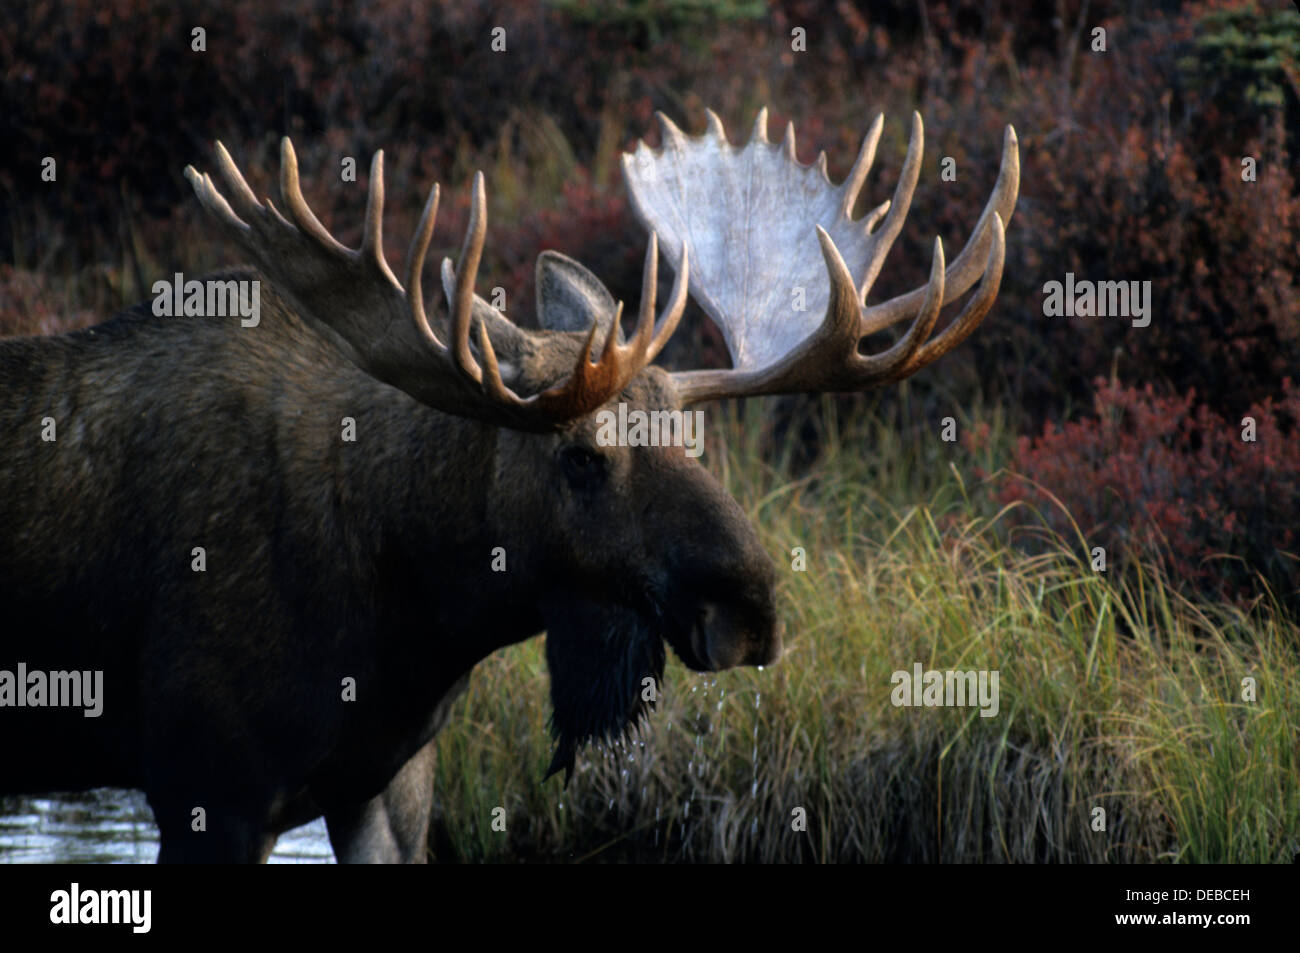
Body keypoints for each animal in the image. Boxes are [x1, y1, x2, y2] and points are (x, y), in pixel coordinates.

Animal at [0, 107, 1017, 862]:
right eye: (581, 456)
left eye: (694, 439)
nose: (752, 607)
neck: (407, 615)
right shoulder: (208, 783)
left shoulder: (389, 784)